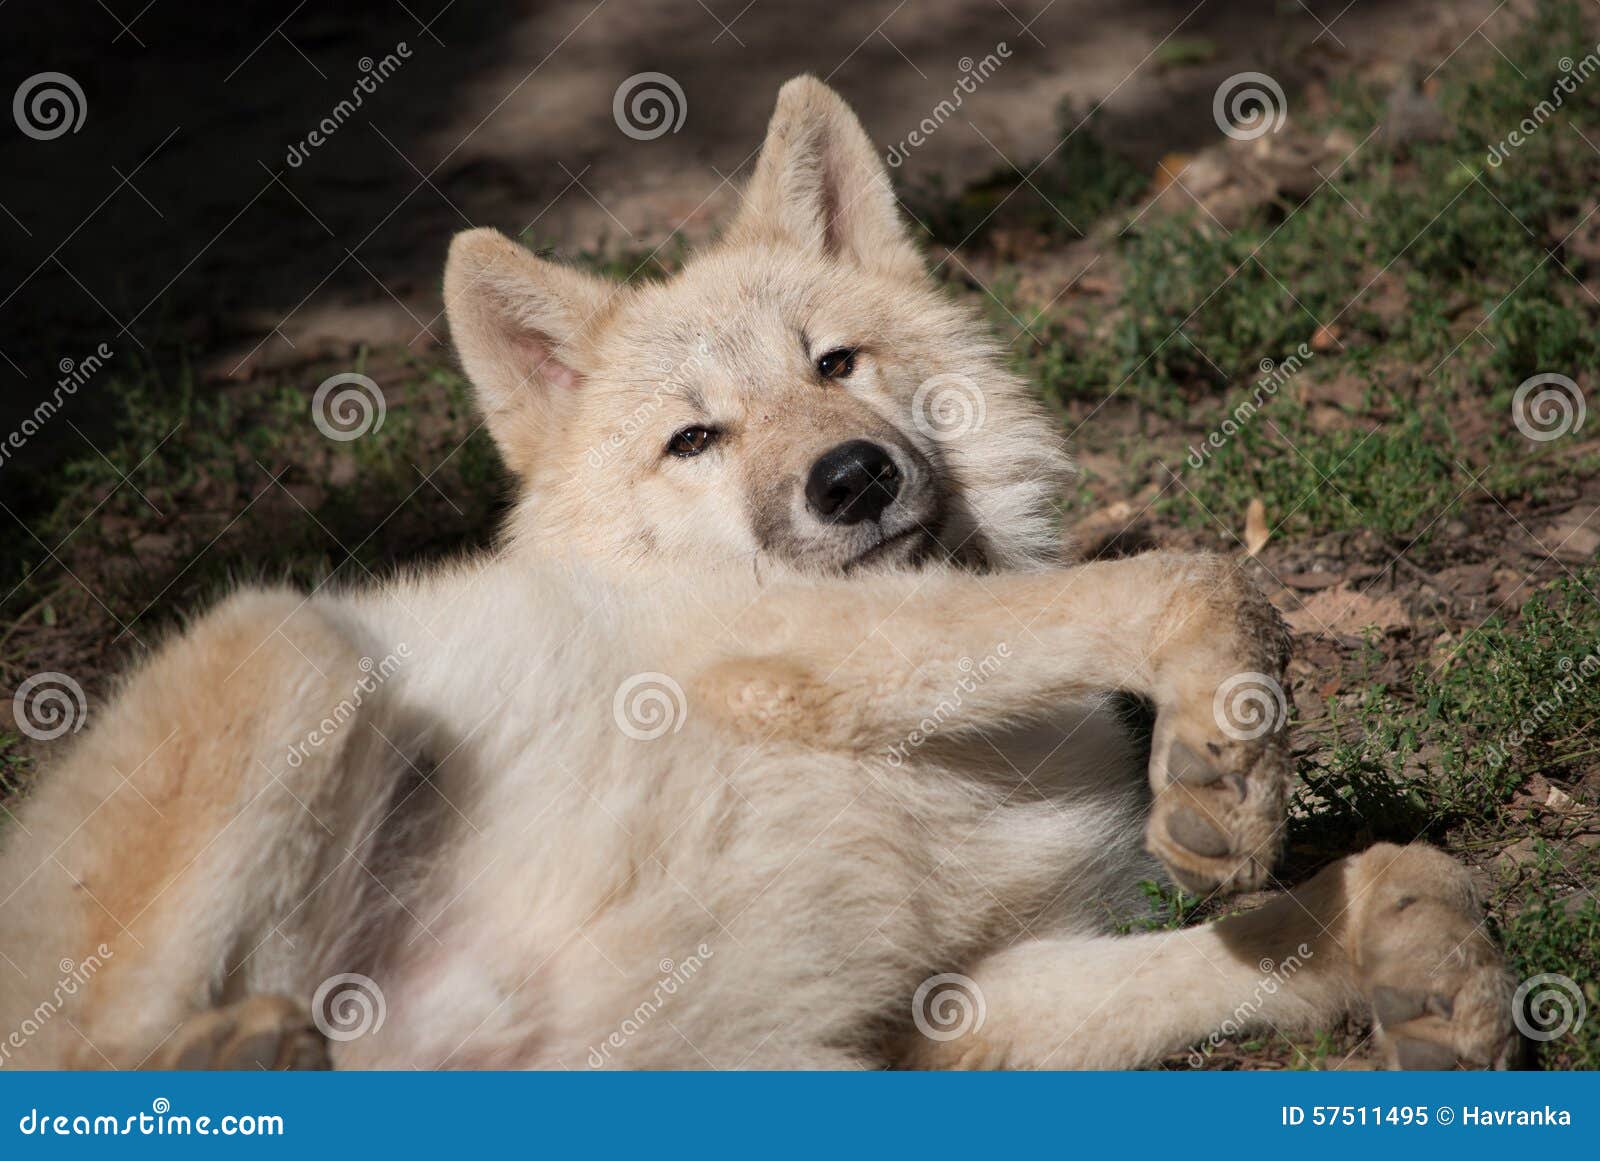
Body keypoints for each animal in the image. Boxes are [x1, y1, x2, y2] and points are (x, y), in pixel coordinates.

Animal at [0, 77, 1515, 1071]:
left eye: (833, 363)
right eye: (695, 438)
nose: (853, 479)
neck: (973, 763)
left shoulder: (959, 1001)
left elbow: (1241, 944)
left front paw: (1402, 946)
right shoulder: (782, 646)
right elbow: (1175, 582)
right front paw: (1226, 754)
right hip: (293, 645)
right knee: (90, 1058)